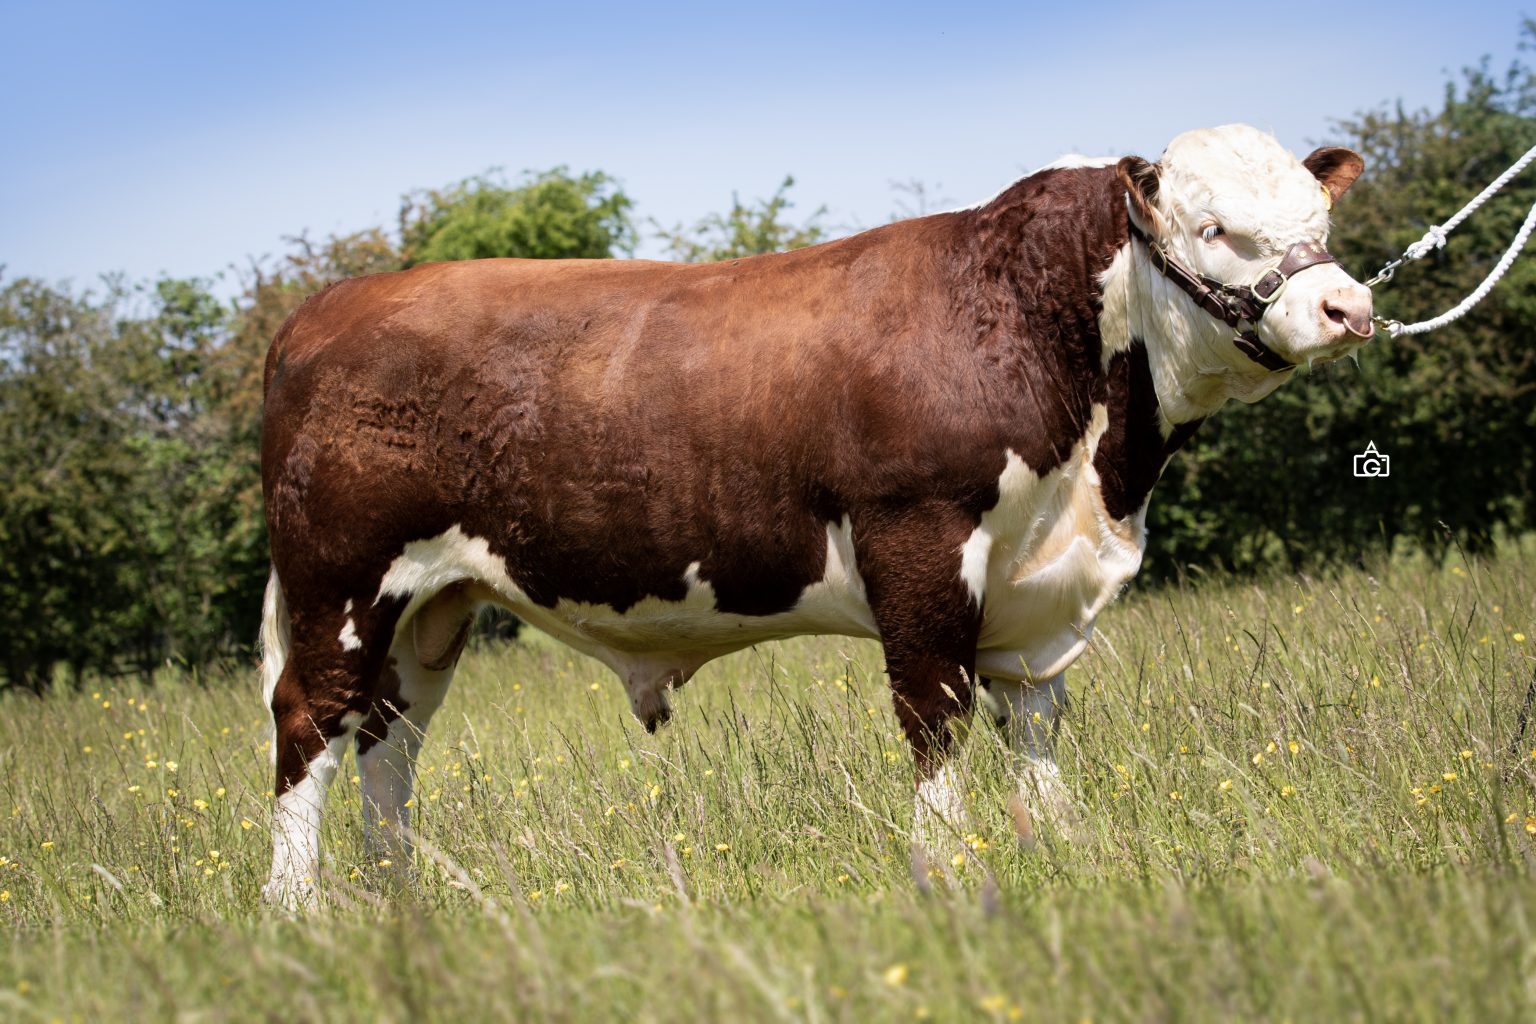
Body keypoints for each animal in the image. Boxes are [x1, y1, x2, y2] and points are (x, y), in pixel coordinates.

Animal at [258, 124, 1374, 907]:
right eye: (1215, 229)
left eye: (1318, 223)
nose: (1349, 307)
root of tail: (330, 306)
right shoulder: (920, 540)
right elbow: (935, 715)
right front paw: (944, 867)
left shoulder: (1041, 587)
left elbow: (1036, 723)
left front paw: (1067, 844)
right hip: (341, 581)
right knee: (310, 725)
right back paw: (298, 910)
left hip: (431, 606)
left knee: (390, 740)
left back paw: (398, 897)